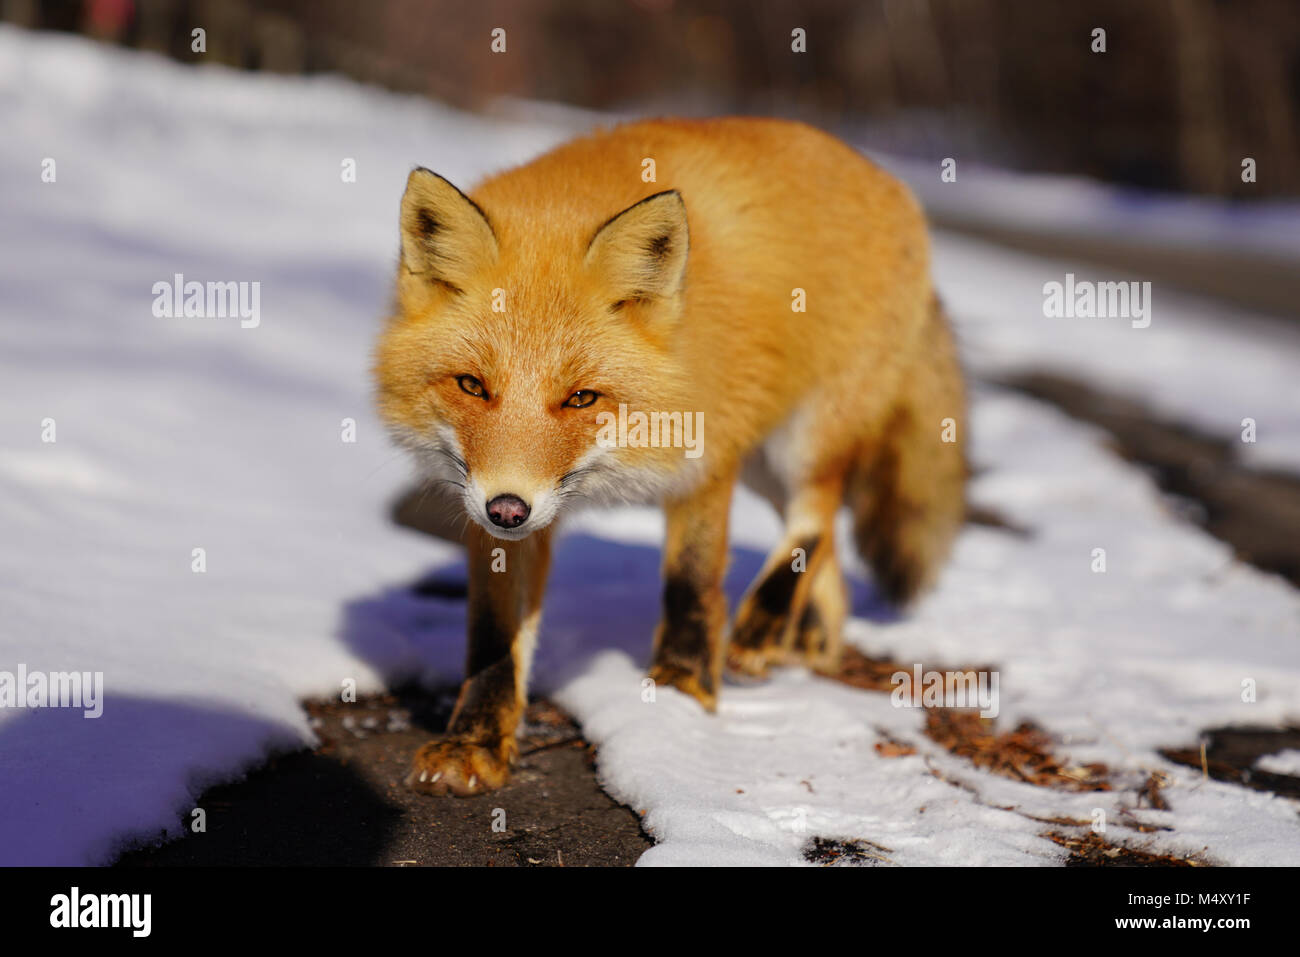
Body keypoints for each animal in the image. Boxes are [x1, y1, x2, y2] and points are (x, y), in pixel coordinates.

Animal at [374, 117, 966, 796]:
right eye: (472, 386)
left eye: (581, 398)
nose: (507, 510)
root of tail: (883, 175)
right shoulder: (498, 505)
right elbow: (494, 634)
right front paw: (475, 743)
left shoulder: (707, 456)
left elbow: (692, 586)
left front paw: (683, 699)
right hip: (764, 464)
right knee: (830, 554)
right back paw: (808, 640)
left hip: (805, 436)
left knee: (819, 511)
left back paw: (764, 629)